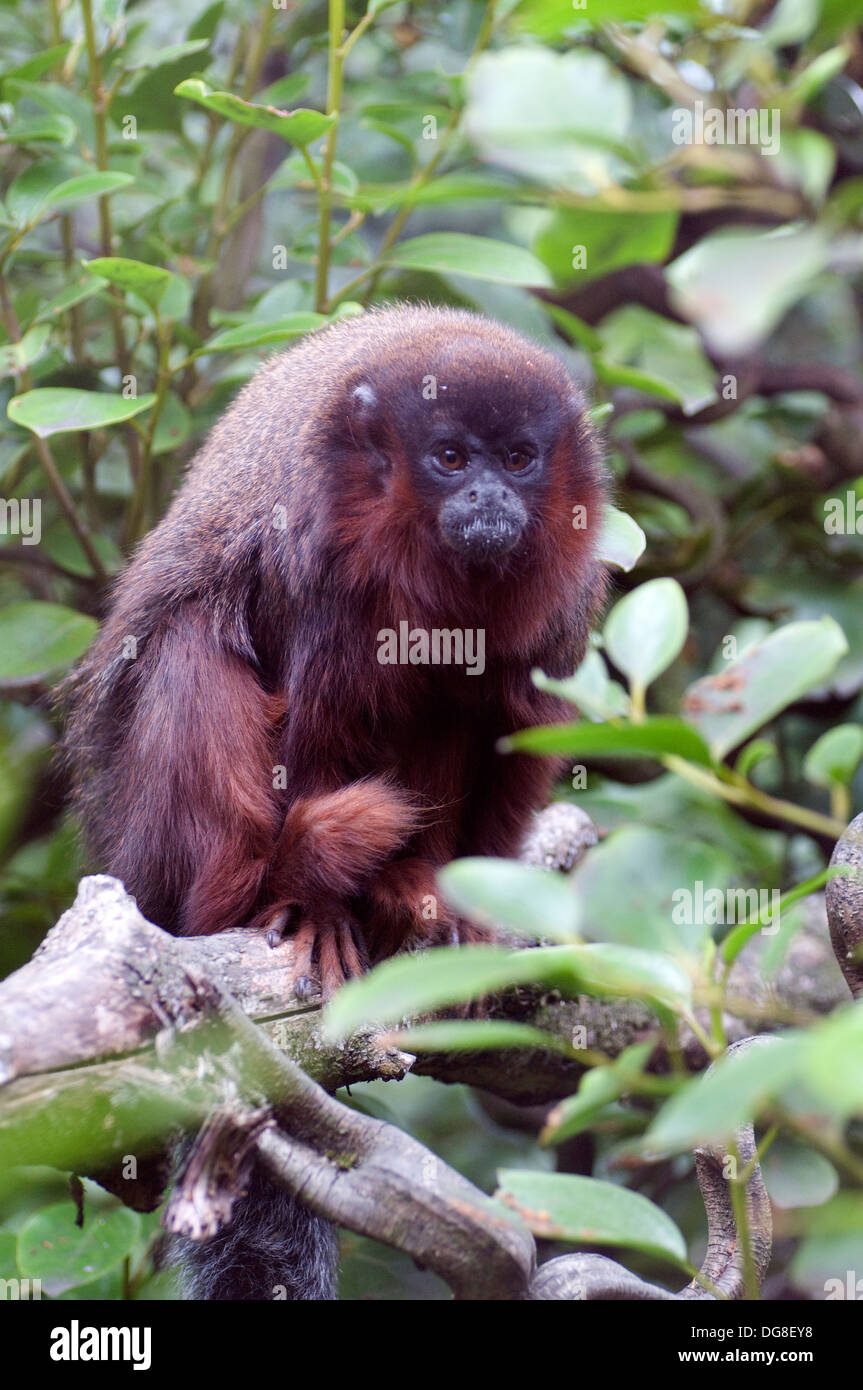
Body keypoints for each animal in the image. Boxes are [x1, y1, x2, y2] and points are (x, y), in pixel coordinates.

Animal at [63, 304, 608, 1299]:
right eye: (449, 458)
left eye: (518, 458)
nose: (488, 498)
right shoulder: (319, 555)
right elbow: (317, 715)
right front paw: (314, 905)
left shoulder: (562, 606)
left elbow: (512, 726)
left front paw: (467, 905)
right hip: (156, 850)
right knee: (195, 642)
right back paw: (261, 888)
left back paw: (404, 889)